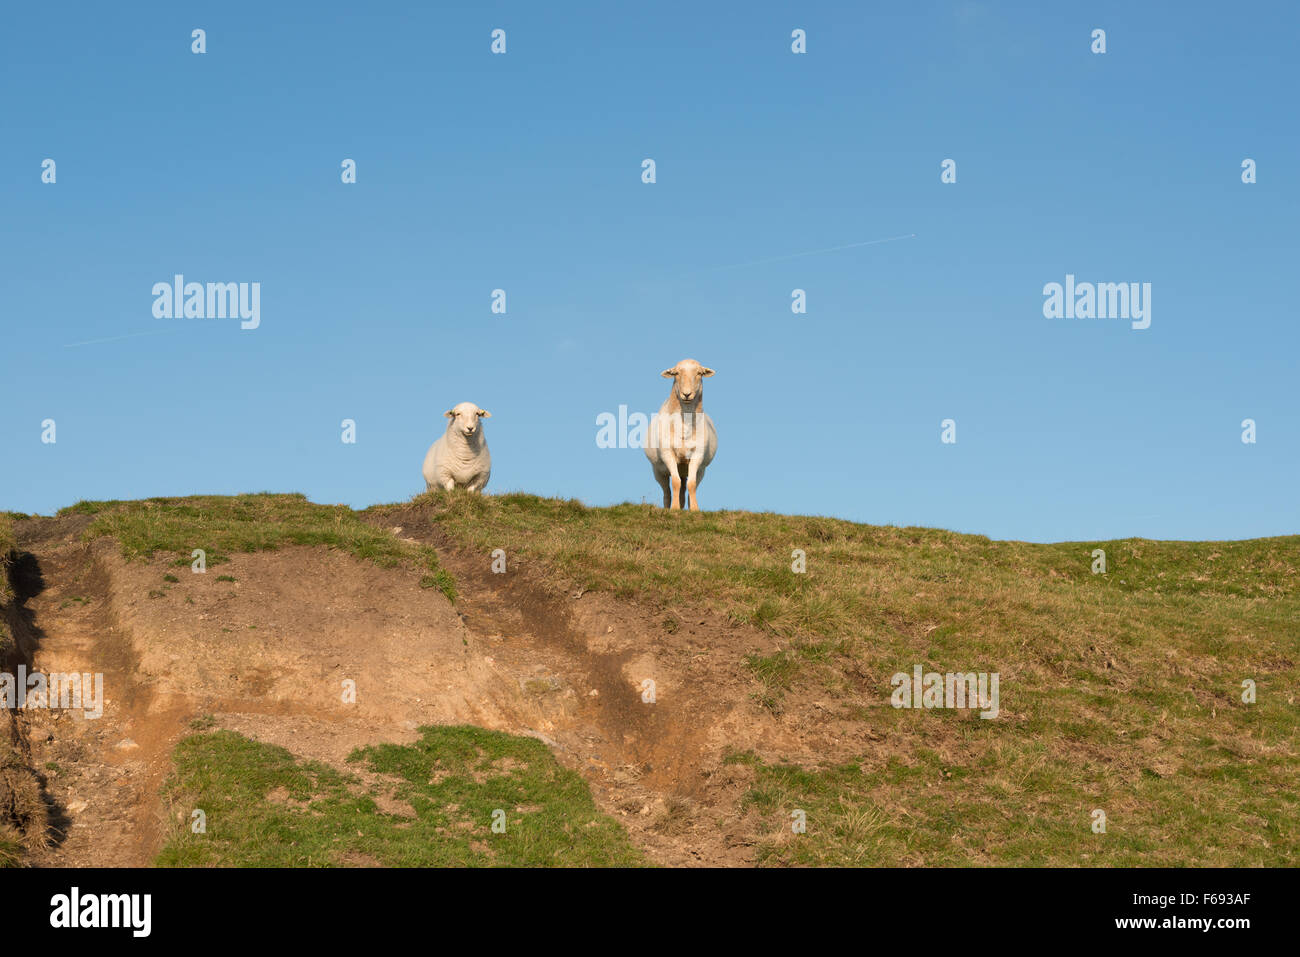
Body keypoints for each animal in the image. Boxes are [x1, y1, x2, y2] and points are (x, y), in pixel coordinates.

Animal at [643, 358, 718, 511]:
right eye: (676, 373)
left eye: (699, 373)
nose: (687, 394)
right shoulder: (667, 453)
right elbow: (675, 482)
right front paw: (674, 508)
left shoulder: (697, 455)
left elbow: (691, 484)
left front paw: (694, 509)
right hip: (658, 471)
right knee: (667, 490)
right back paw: (668, 507)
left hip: (697, 470)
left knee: (686, 487)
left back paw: (686, 507)